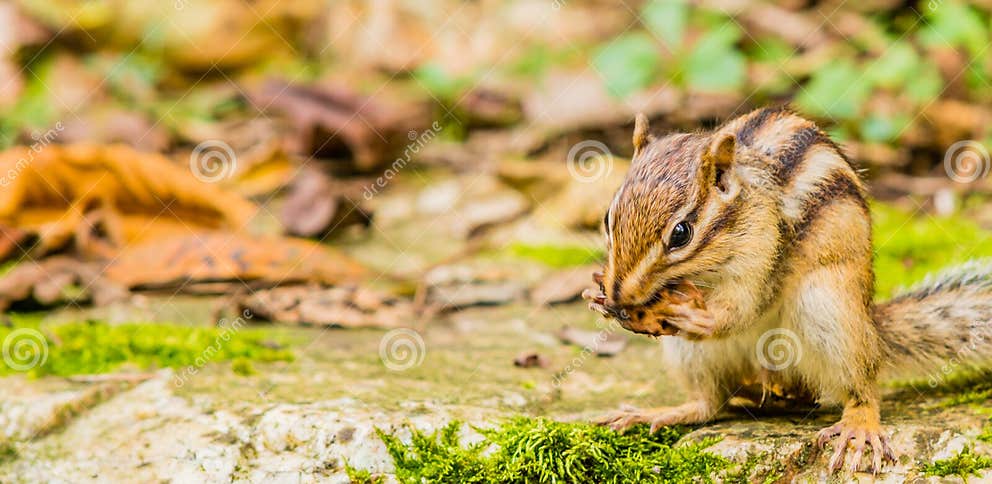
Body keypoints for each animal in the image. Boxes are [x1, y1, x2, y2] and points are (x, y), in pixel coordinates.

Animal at [582, 106, 992, 474]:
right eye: (607, 218)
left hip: (828, 307)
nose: (619, 295)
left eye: (681, 233)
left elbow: (743, 307)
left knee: (862, 386)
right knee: (708, 403)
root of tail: (874, 329)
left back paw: (859, 425)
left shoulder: (765, 254)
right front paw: (595, 298)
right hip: (690, 353)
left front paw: (701, 317)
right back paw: (663, 412)